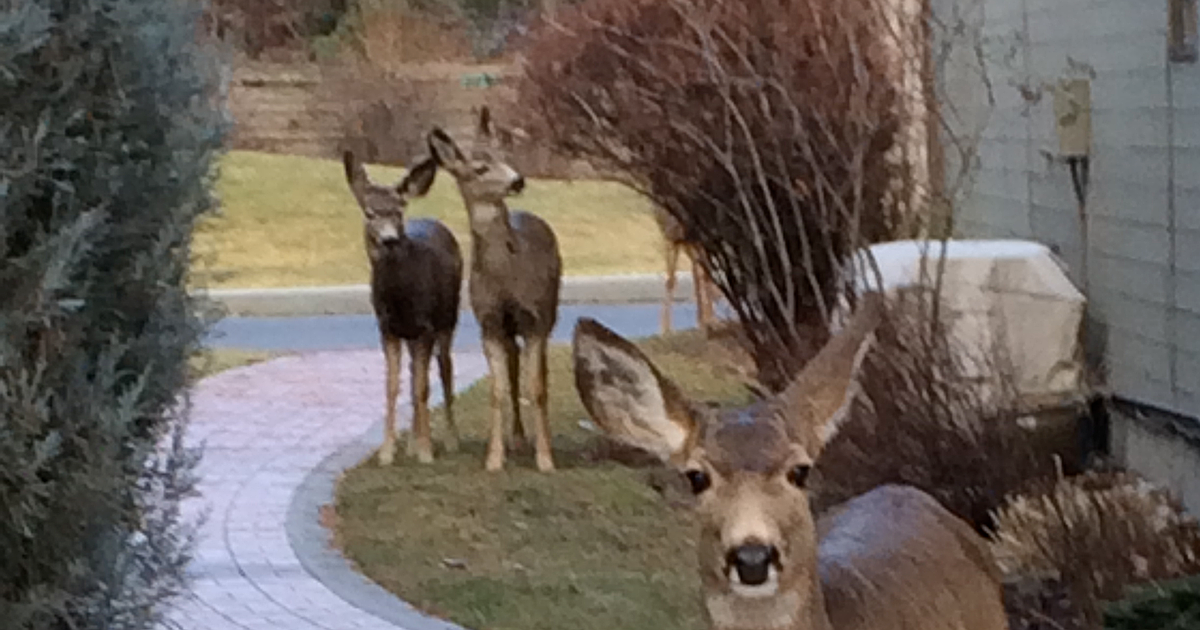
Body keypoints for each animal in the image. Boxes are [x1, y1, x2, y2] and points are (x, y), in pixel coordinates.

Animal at [342, 149, 464, 467]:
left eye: (398, 211)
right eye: (370, 213)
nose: (389, 239)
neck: (400, 296)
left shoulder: (426, 327)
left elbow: (423, 387)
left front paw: (426, 451)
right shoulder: (387, 329)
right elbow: (393, 386)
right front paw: (388, 452)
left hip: (447, 319)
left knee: (444, 369)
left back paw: (450, 440)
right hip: (412, 335)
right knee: (413, 374)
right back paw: (411, 443)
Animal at [427, 107, 562, 473]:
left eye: (505, 157)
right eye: (480, 168)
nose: (518, 180)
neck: (505, 276)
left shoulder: (534, 318)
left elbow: (538, 386)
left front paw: (546, 459)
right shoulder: (487, 320)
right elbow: (496, 390)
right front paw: (494, 457)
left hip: (549, 310)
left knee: (539, 372)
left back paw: (533, 439)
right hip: (507, 326)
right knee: (514, 363)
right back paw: (517, 438)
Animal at [655, 206, 718, 335]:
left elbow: (702, 274)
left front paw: (708, 321)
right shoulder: (670, 238)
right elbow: (670, 280)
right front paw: (665, 329)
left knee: (703, 273)